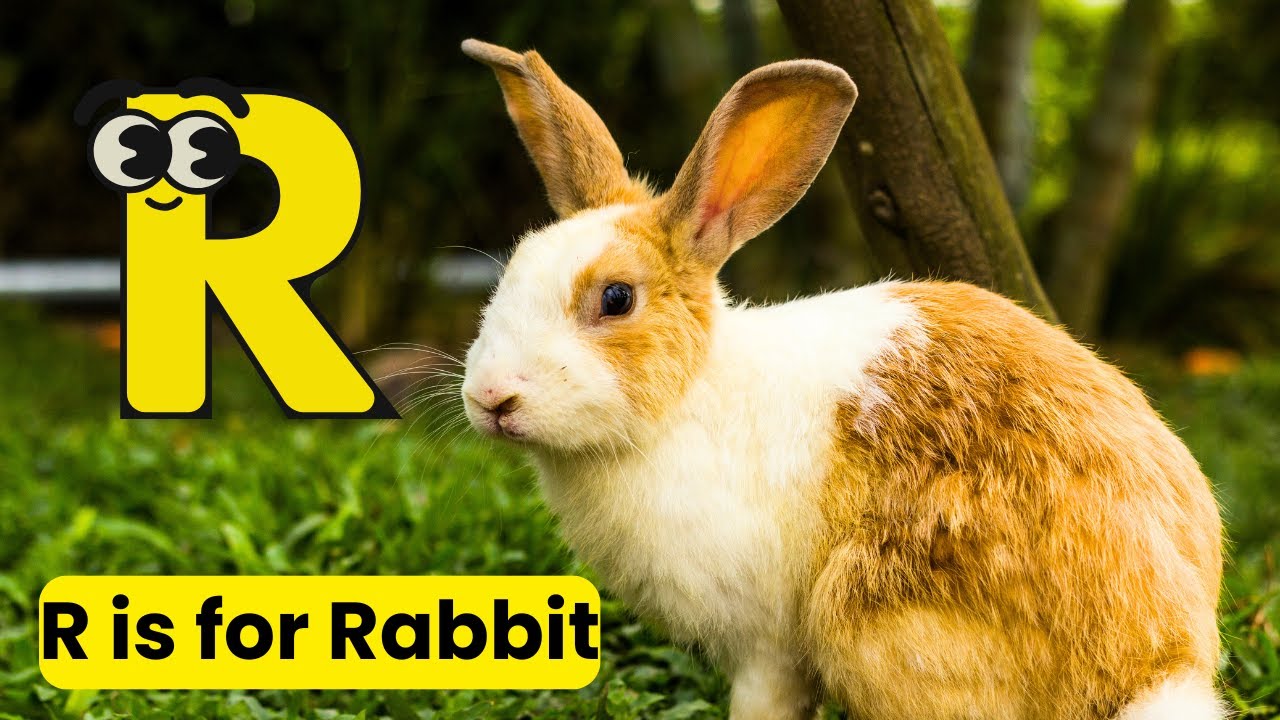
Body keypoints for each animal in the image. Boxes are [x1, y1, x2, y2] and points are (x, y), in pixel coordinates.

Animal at [458, 38, 1224, 720]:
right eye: (512, 268)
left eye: (616, 299)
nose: (491, 398)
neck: (688, 399)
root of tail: (1157, 665)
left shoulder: (768, 649)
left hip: (872, 621)